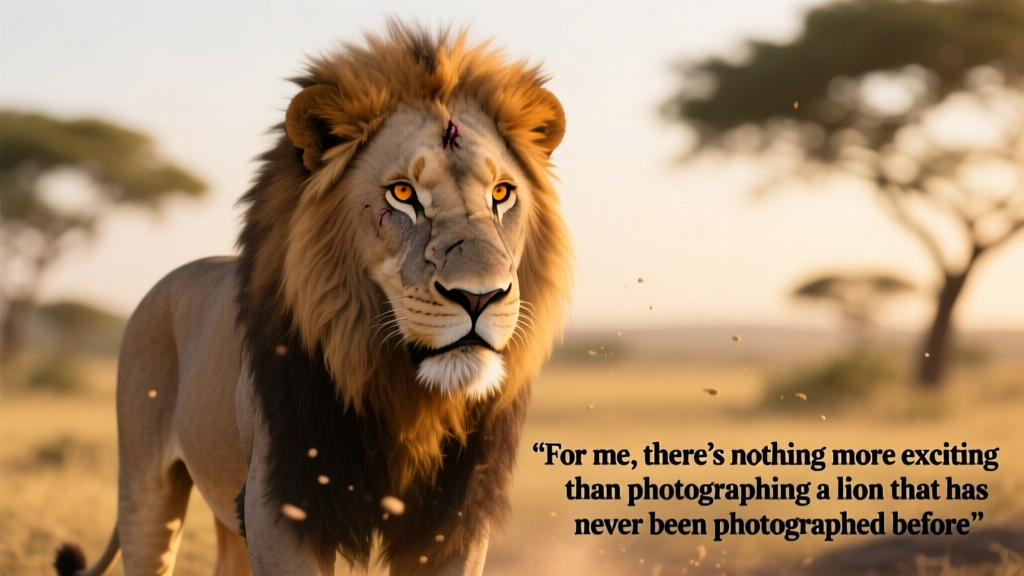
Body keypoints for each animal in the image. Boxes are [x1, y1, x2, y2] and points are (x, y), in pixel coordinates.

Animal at [54, 21, 571, 576]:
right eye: (402, 194)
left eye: (501, 193)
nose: (479, 297)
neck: (403, 395)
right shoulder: (278, 502)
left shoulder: (453, 517)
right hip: (146, 488)